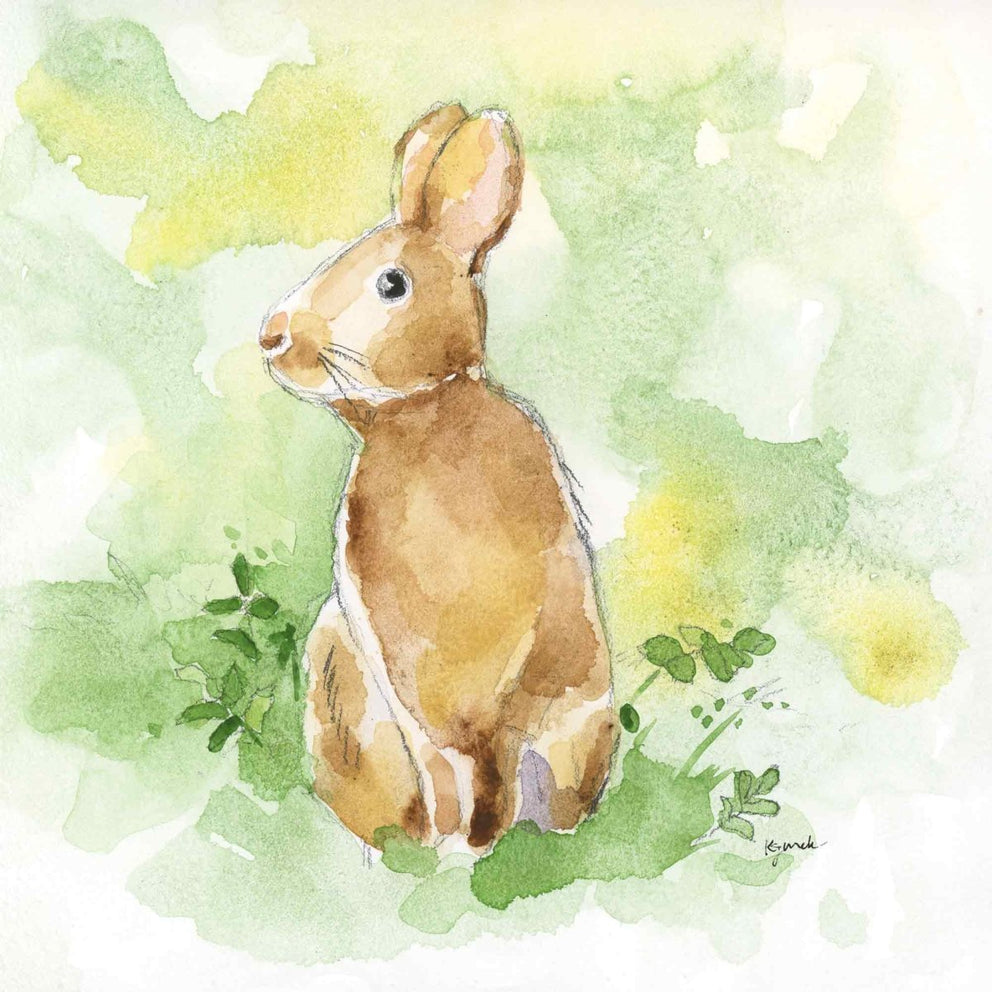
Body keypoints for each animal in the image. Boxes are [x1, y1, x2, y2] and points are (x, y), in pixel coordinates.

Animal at [258, 102, 617, 854]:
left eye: (392, 284)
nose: (272, 337)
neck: (426, 417)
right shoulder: (406, 688)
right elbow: (454, 766)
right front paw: (460, 848)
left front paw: (475, 848)